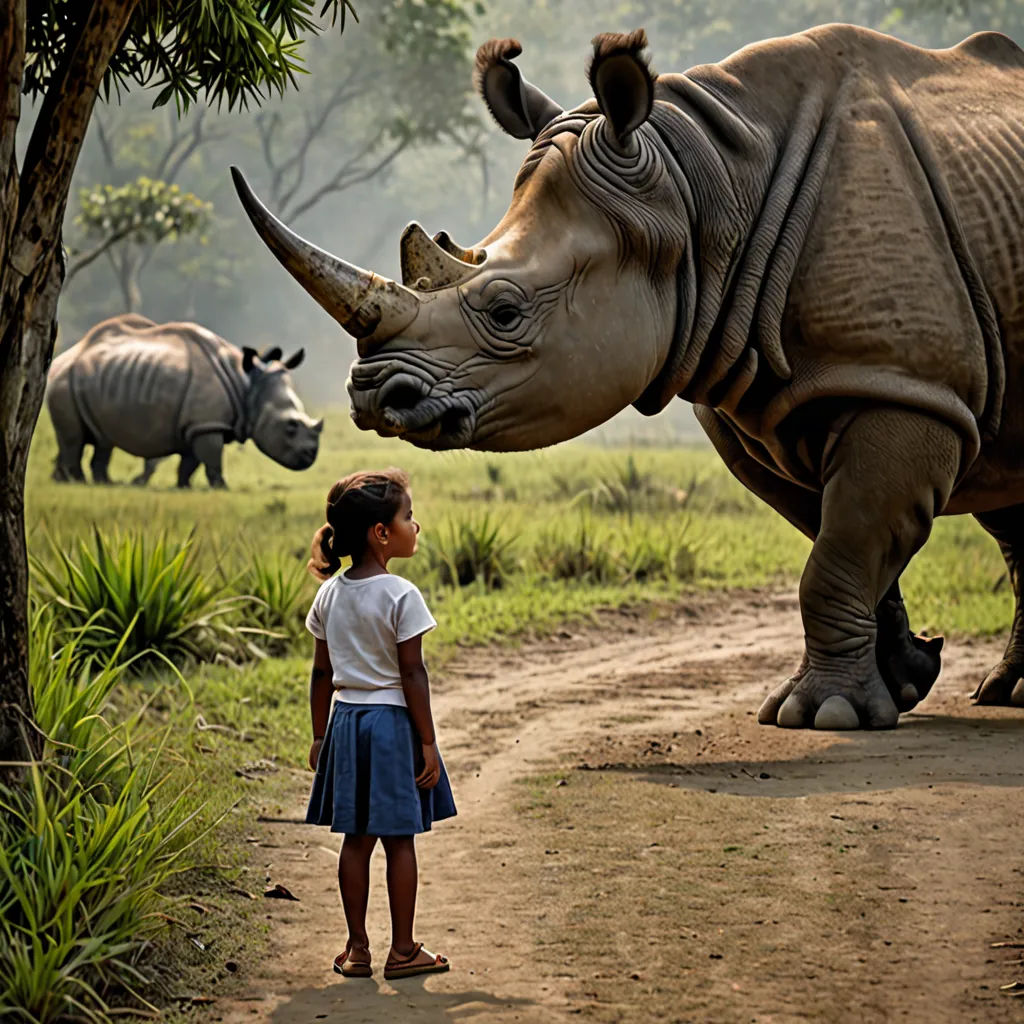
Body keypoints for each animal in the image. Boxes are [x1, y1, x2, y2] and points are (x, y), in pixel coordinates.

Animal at [46, 314, 322, 488]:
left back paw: (102, 483)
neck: (249, 384)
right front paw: (221, 488)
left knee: (102, 441)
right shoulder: (206, 424)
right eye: (290, 427)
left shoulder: (196, 425)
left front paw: (184, 486)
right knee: (73, 439)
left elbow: (191, 463)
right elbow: (212, 460)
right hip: (62, 381)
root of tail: (62, 357)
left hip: (95, 379)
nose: (310, 456)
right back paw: (79, 482)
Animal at [233, 24, 1024, 731]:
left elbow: (842, 551)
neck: (700, 188)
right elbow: (846, 545)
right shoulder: (760, 409)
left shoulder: (902, 382)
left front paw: (823, 715)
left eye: (505, 310)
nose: (372, 395)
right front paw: (905, 677)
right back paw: (1005, 693)